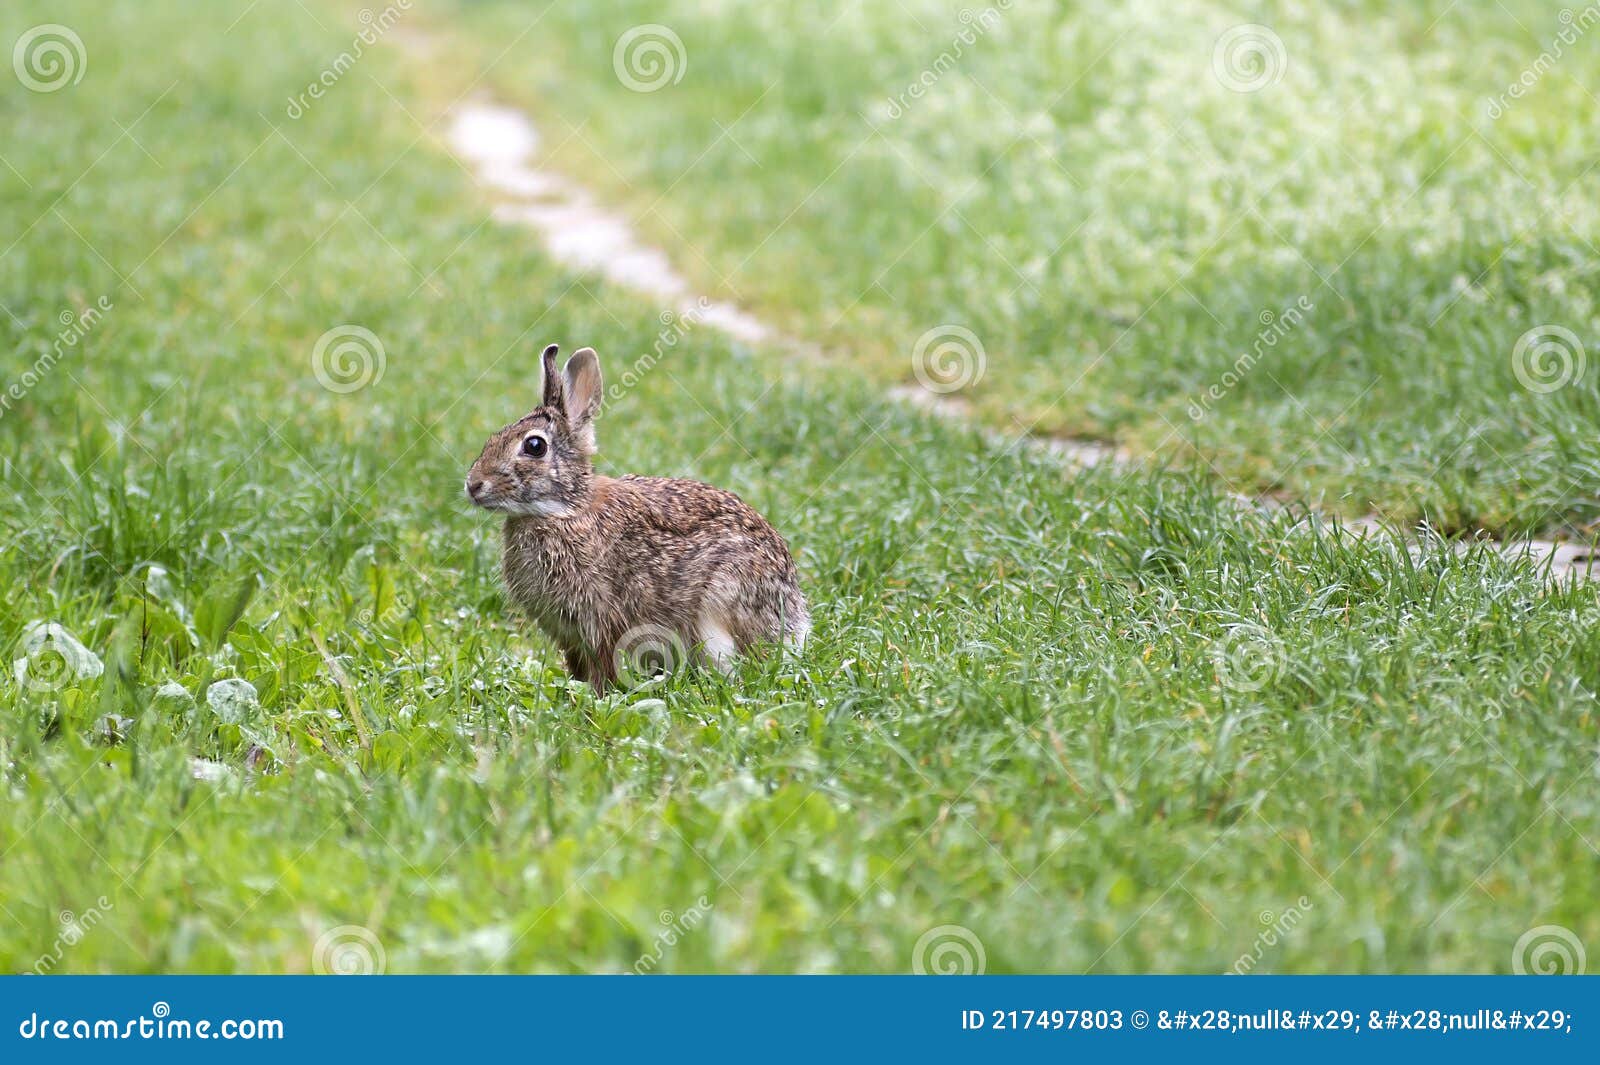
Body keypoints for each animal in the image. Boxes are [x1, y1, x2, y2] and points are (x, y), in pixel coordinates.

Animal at [466, 343, 809, 693]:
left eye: (534, 446)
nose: (473, 485)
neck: (564, 510)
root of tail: (794, 617)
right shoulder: (570, 637)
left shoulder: (602, 622)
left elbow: (604, 665)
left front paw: (598, 696)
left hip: (718, 610)